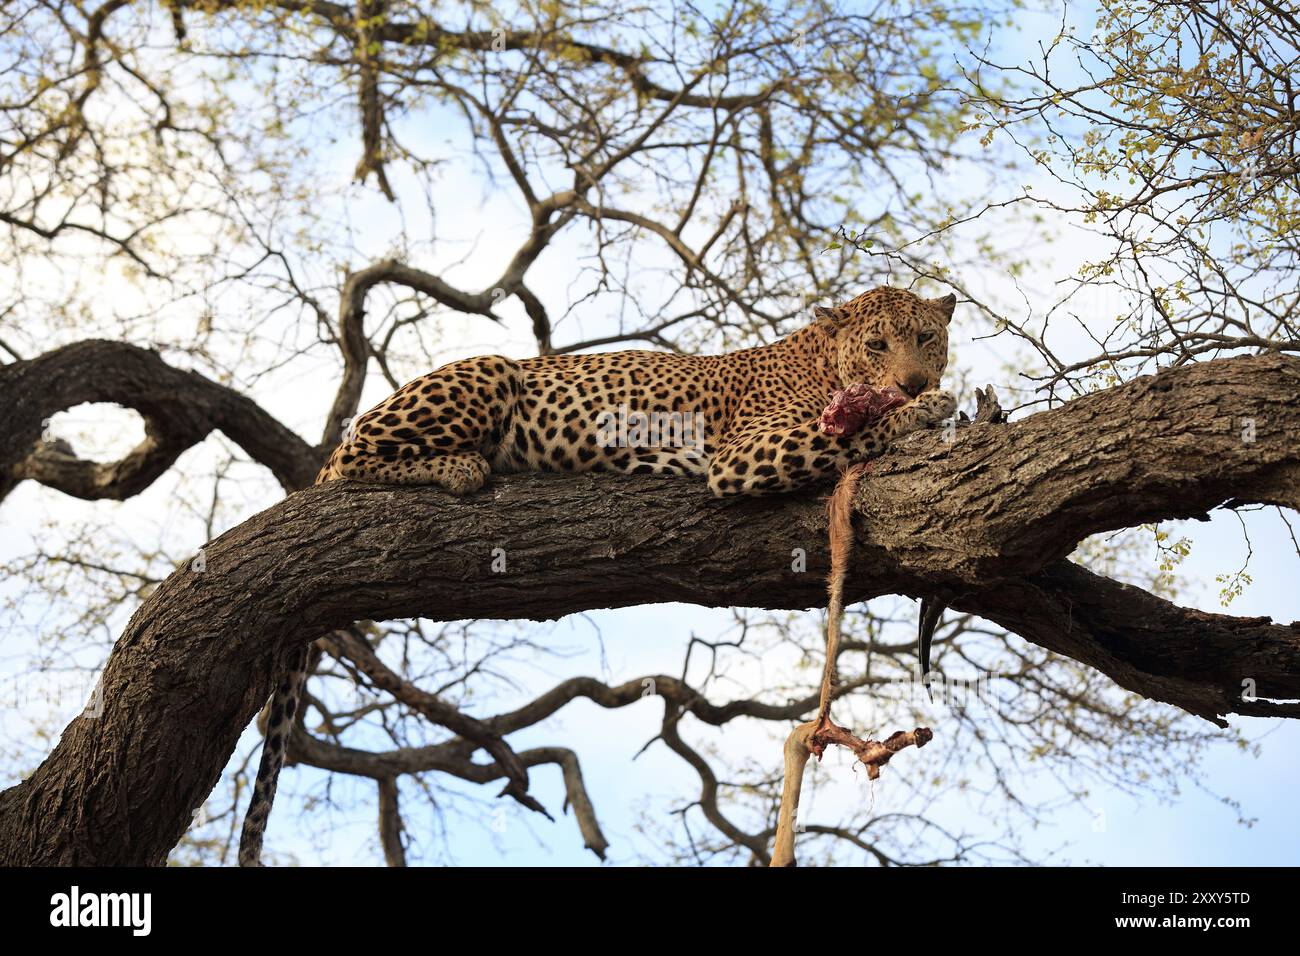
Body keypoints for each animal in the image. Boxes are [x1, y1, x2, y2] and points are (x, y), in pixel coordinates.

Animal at [238, 285, 956, 866]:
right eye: (877, 344)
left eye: (927, 338)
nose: (915, 382)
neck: (819, 360)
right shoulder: (744, 454)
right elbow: (851, 430)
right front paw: (923, 412)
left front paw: (926, 404)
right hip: (483, 375)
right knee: (358, 451)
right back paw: (459, 466)